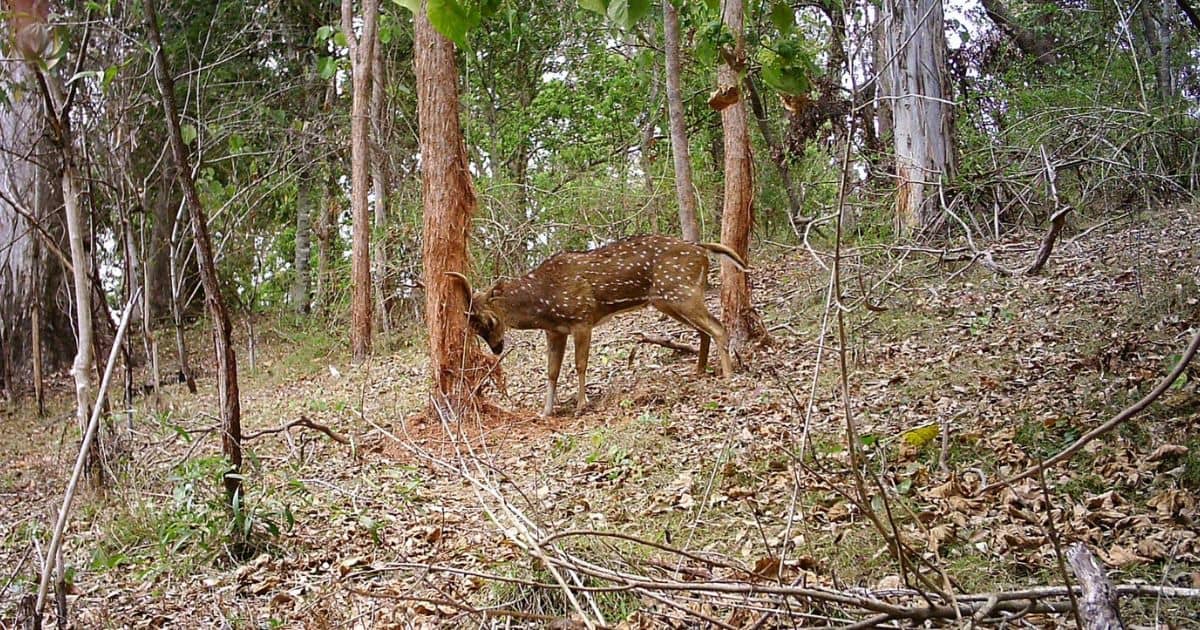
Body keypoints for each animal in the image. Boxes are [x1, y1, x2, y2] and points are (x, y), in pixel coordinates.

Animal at [447, 234, 747, 416]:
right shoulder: (554, 331)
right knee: (704, 330)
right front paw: (546, 410)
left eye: (489, 319)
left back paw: (728, 375)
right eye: (474, 327)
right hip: (670, 299)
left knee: (718, 327)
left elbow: (580, 364)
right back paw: (699, 371)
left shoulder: (582, 317)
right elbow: (552, 371)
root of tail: (703, 250)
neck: (545, 303)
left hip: (681, 291)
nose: (497, 348)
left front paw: (582, 404)